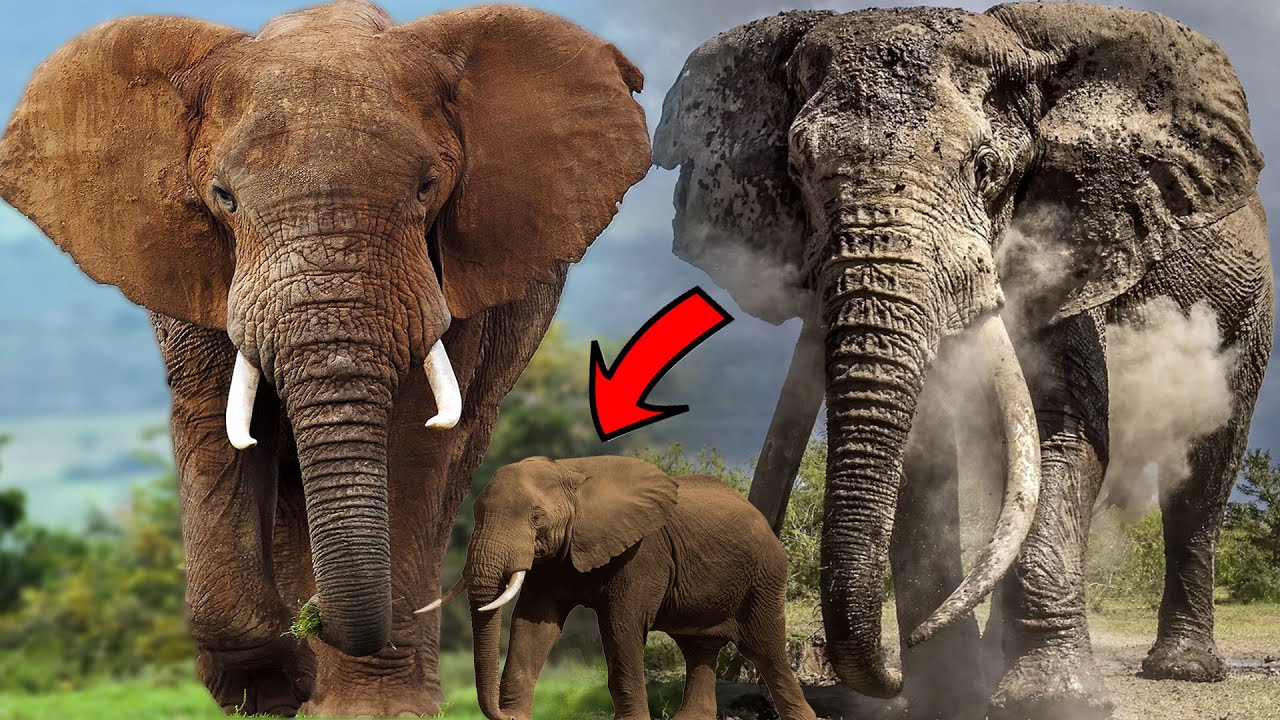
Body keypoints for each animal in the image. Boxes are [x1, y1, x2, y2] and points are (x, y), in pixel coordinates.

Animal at [0, 2, 649, 716]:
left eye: (428, 187)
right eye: (223, 197)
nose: (313, 624)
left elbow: (411, 439)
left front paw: (363, 706)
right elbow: (215, 419)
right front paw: (273, 685)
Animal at [422, 455, 818, 720]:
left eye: (536, 517)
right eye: (475, 513)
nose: (504, 713)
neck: (570, 473)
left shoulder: (643, 553)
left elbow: (621, 626)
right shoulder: (555, 558)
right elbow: (534, 627)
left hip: (764, 577)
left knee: (765, 649)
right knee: (699, 651)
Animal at [654, 3, 1272, 719]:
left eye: (986, 167)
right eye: (797, 168)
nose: (896, 664)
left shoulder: (1070, 242)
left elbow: (1066, 425)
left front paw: (1046, 700)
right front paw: (951, 693)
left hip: (1248, 312)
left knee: (1203, 473)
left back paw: (1182, 669)